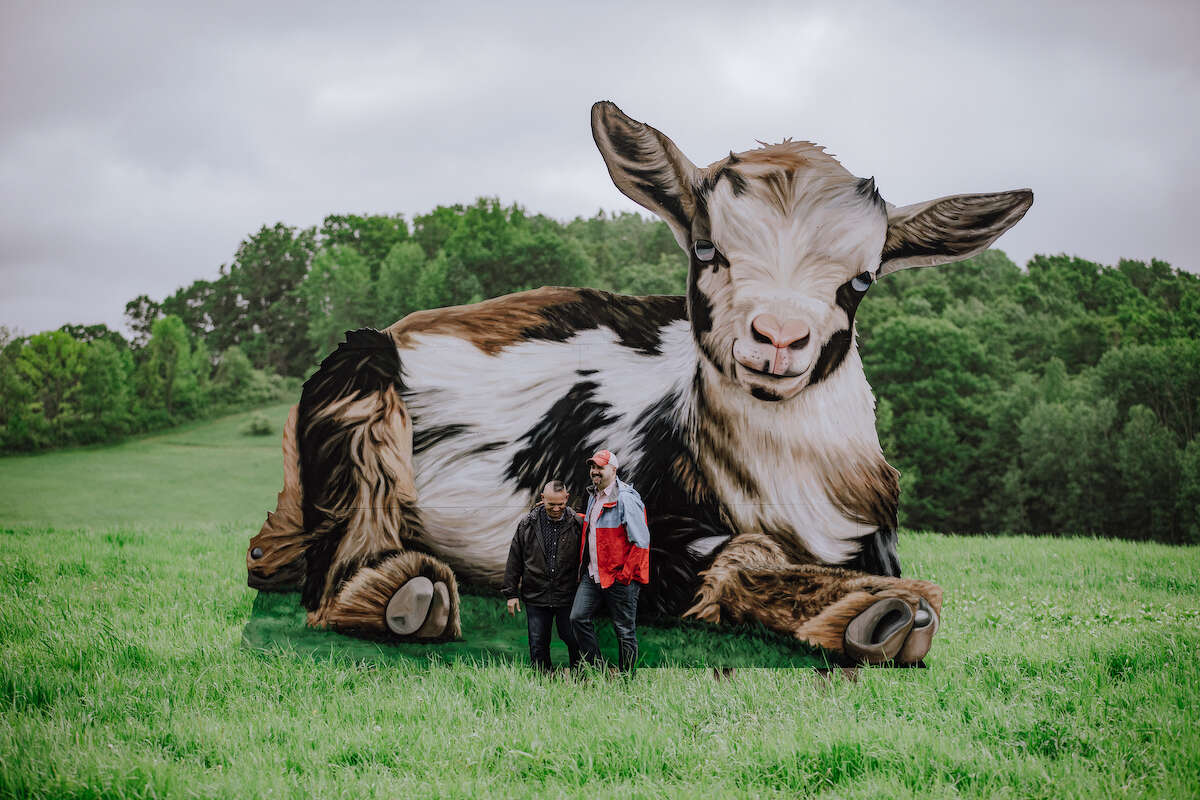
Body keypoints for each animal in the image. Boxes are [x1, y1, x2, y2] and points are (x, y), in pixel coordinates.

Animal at [246, 101, 1032, 664]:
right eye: (707, 247)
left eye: (862, 278)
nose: (778, 340)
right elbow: (725, 560)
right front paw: (877, 612)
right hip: (360, 377)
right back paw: (394, 593)